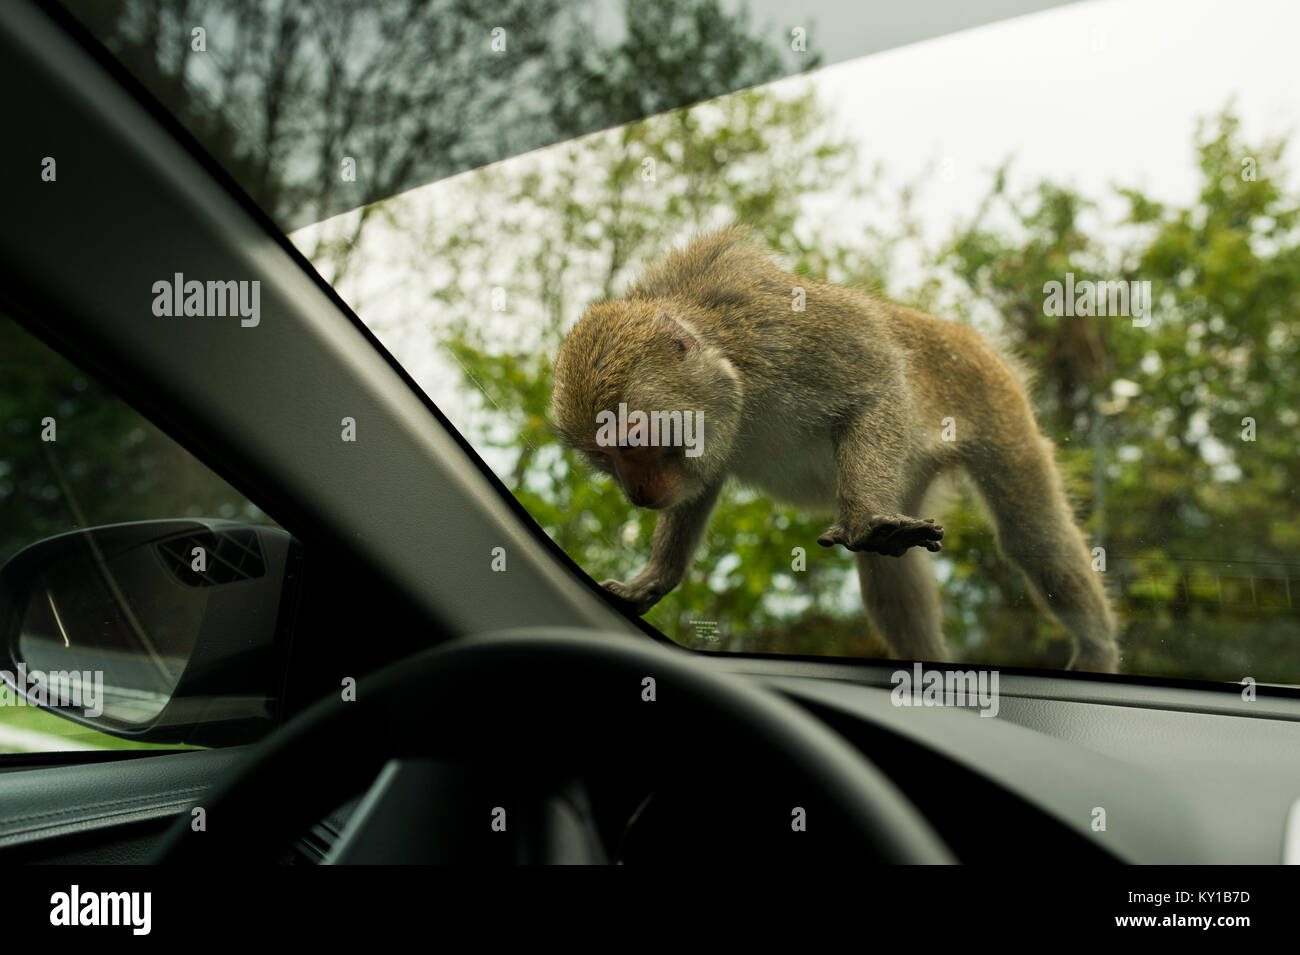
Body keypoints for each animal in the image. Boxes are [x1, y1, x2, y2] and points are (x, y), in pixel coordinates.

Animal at [551, 228, 1120, 673]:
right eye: (604, 458)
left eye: (636, 441)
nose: (639, 493)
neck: (735, 368)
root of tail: (965, 334)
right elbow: (699, 489)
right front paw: (656, 577)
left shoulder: (788, 337)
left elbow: (878, 381)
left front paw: (863, 516)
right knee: (891, 576)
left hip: (994, 400)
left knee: (1034, 535)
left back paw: (1096, 647)